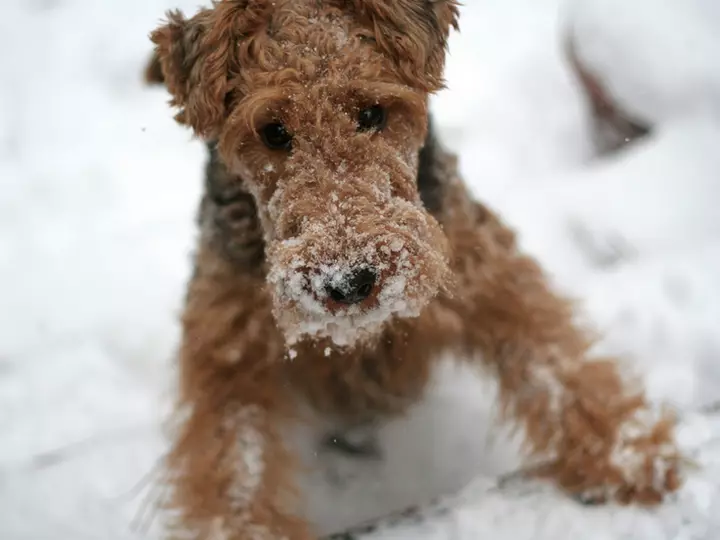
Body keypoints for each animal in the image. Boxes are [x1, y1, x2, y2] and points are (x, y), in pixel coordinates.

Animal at [145, 2, 680, 536]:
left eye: (371, 113)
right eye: (273, 131)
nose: (349, 281)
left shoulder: (482, 272)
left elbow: (552, 362)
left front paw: (630, 458)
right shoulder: (229, 348)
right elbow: (235, 459)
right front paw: (244, 529)